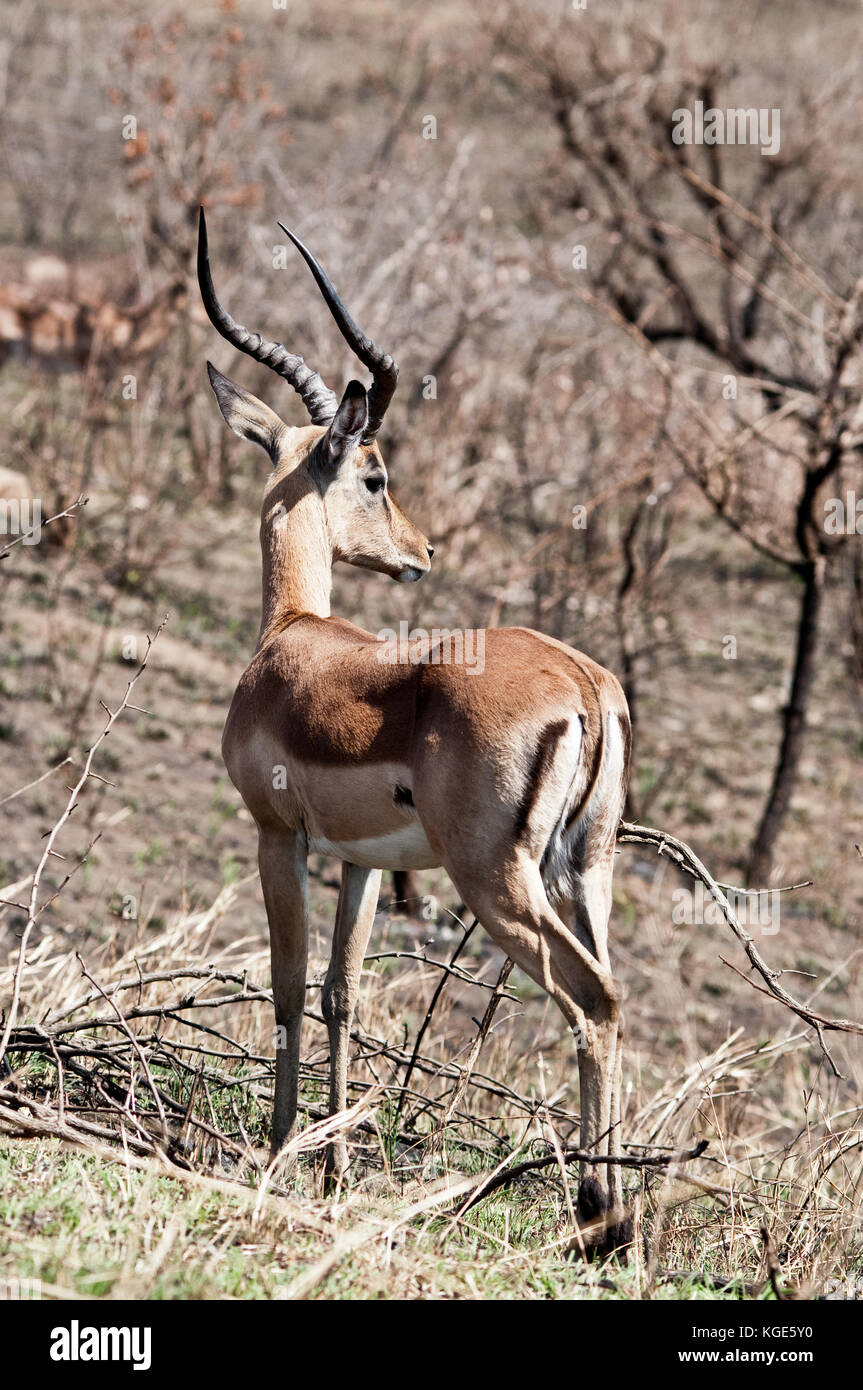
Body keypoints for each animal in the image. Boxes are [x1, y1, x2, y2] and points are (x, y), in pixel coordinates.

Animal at [198, 209, 633, 1254]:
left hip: (496, 877)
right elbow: (341, 993)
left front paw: (278, 1154)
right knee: (612, 994)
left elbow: (283, 985)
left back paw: (597, 1216)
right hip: (584, 871)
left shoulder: (277, 837)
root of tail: (583, 682)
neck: (293, 638)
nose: (420, 552)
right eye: (377, 474)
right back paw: (617, 1218)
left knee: (590, 998)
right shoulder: (360, 861)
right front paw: (332, 1167)